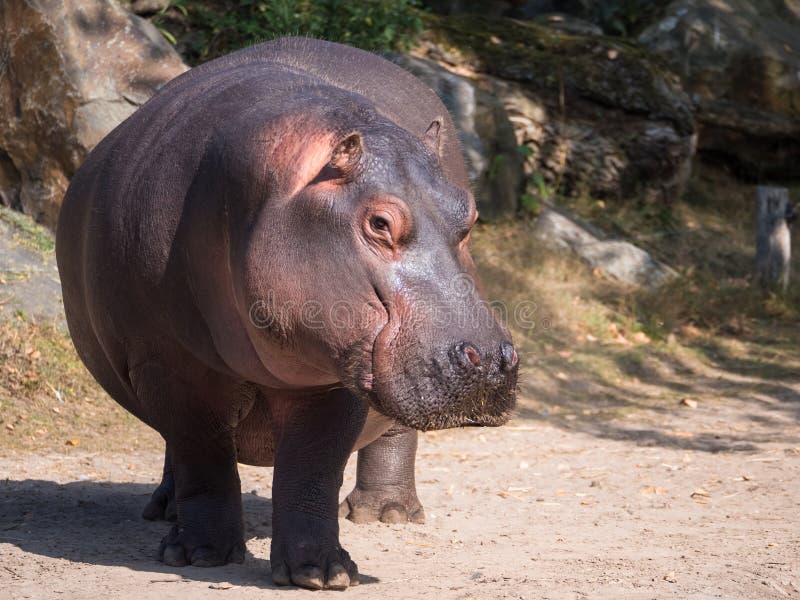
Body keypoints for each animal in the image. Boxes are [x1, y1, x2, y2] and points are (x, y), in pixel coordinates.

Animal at [56, 37, 518, 590]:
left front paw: (323, 572)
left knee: (396, 433)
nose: (491, 360)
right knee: (177, 447)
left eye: (469, 214)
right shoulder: (168, 366)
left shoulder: (332, 372)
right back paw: (165, 511)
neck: (266, 192)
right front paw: (200, 556)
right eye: (379, 222)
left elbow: (311, 470)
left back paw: (387, 514)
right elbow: (201, 455)